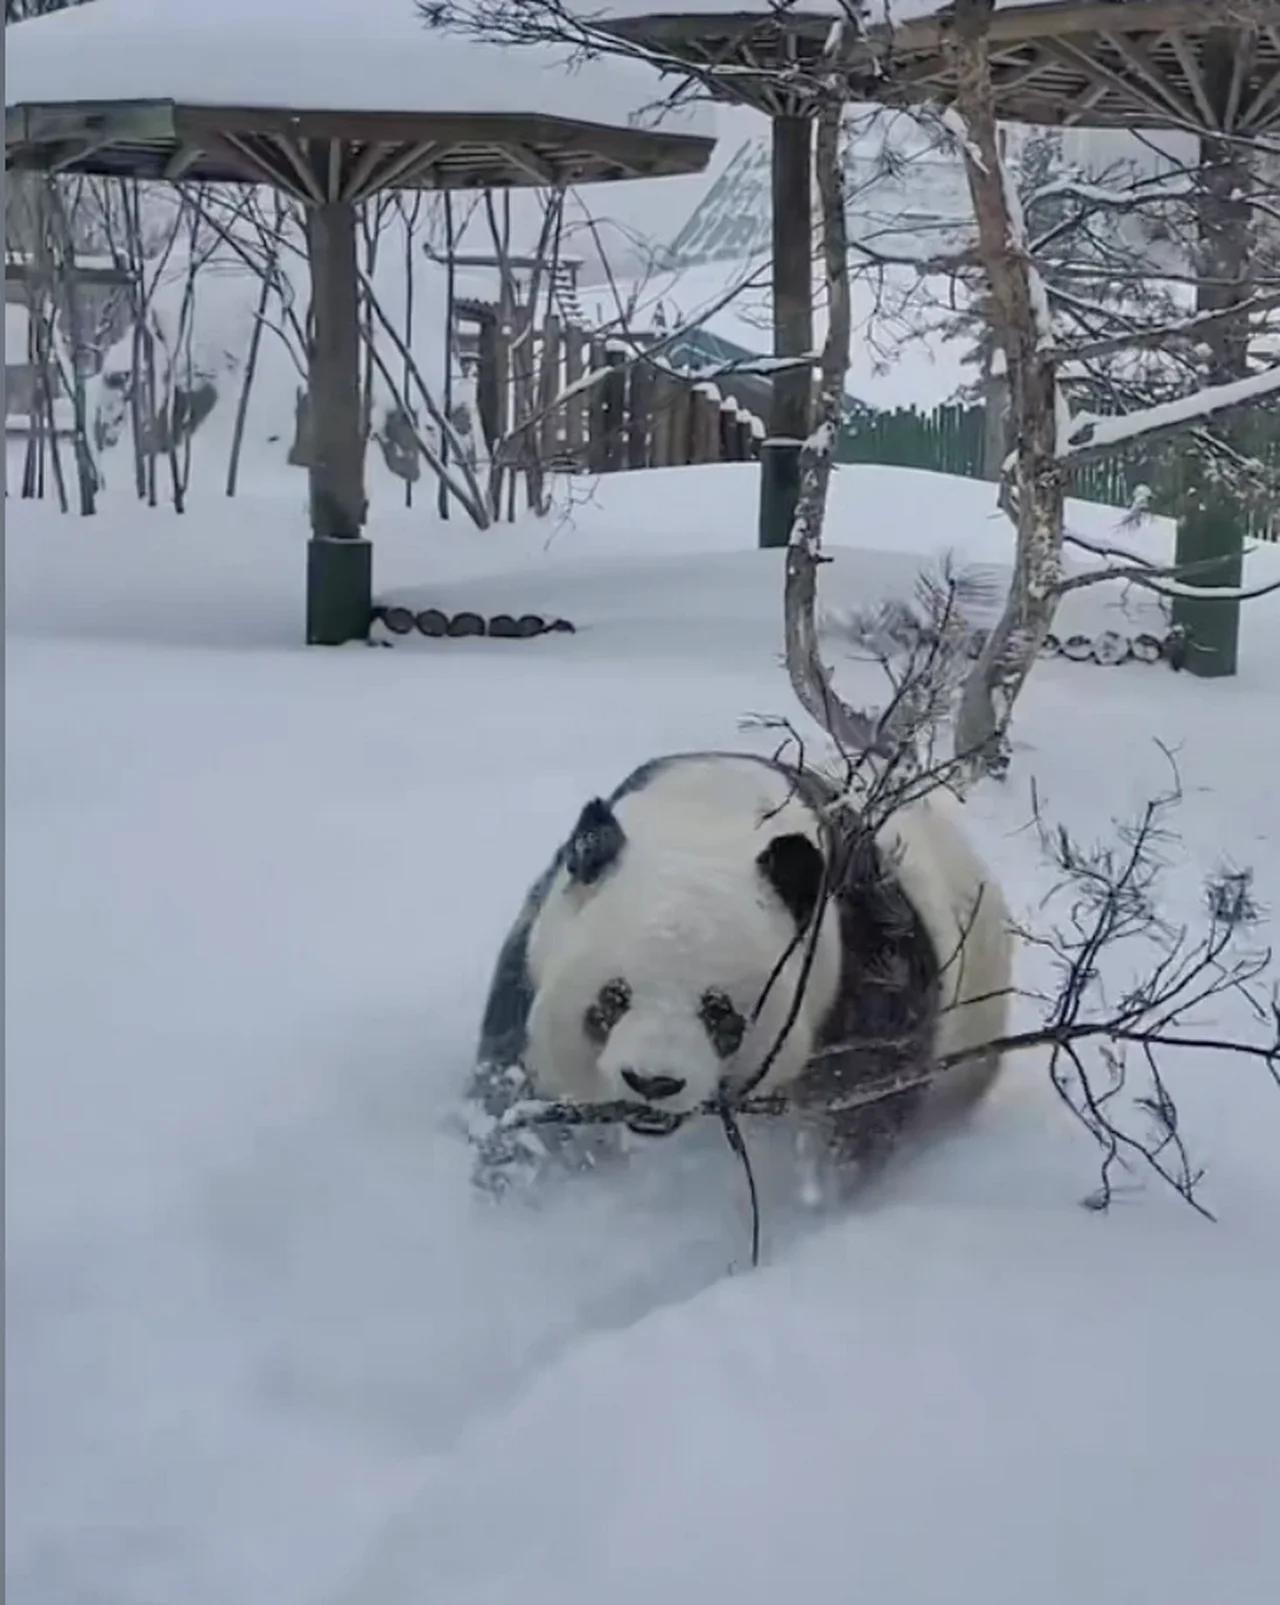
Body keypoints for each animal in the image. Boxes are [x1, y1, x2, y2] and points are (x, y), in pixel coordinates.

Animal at [473, 750, 1013, 1183]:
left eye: (719, 1010)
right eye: (613, 997)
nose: (652, 1083)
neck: (705, 823)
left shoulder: (862, 961)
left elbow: (860, 1101)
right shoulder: (532, 955)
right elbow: (516, 1090)